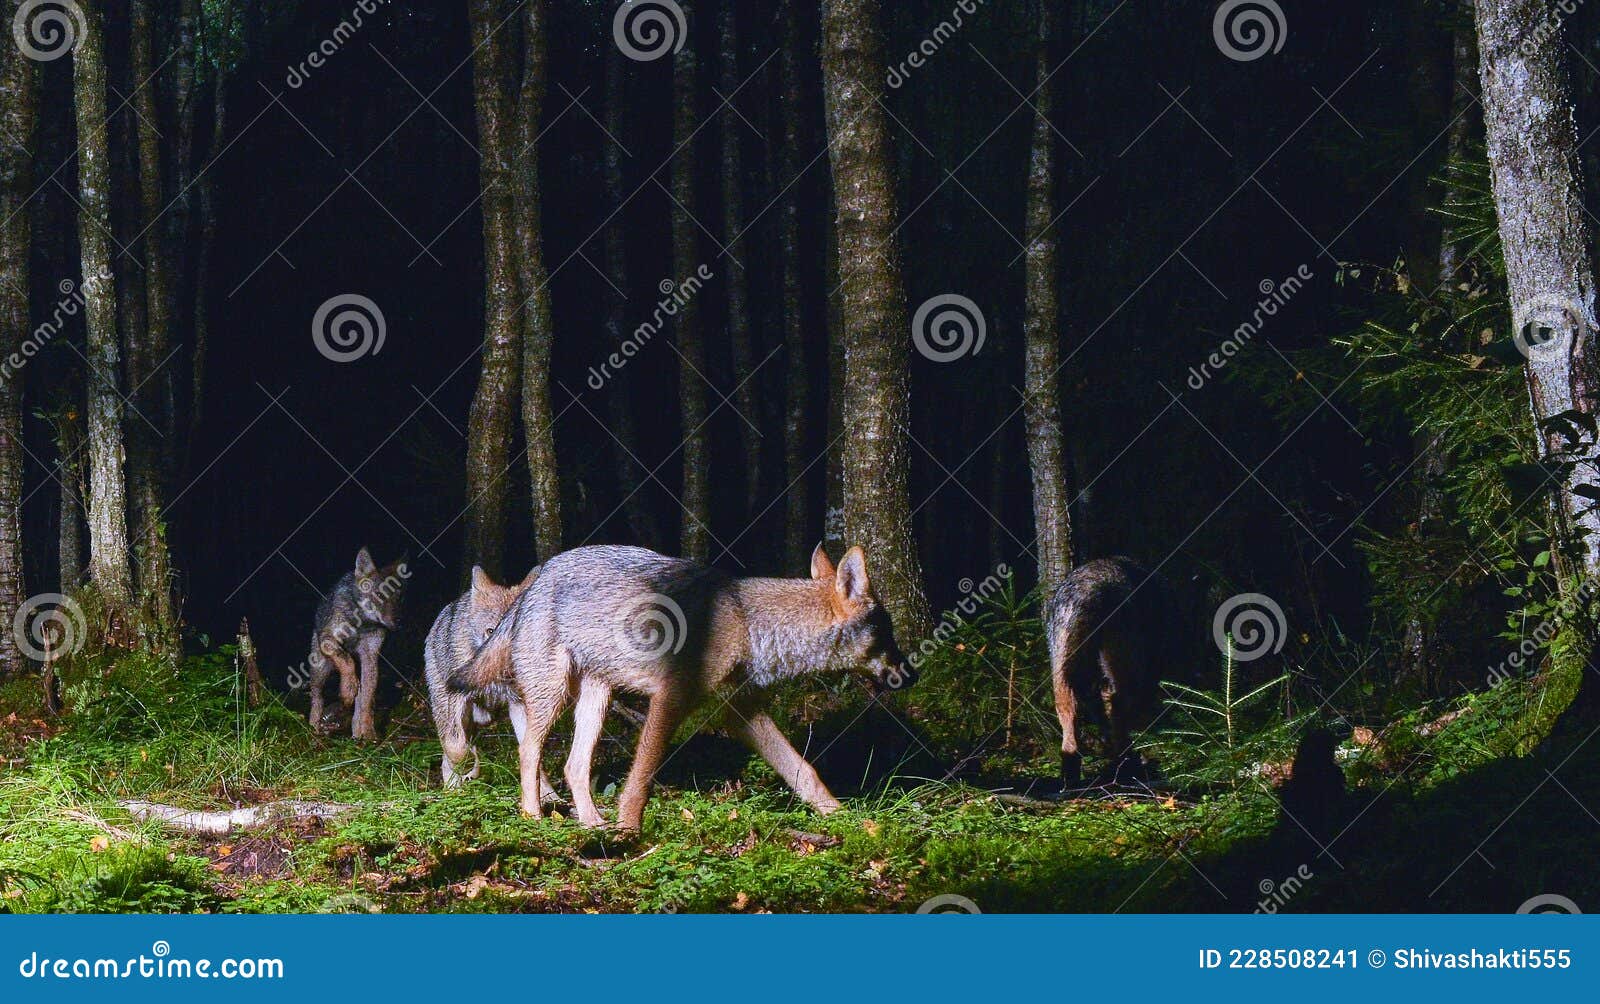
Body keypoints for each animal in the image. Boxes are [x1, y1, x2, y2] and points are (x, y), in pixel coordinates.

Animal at [308, 547, 407, 741]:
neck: (362, 624)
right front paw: (347, 690)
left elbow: (367, 701)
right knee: (316, 697)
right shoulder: (329, 640)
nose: (400, 621)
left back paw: (356, 735)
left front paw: (369, 734)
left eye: (400, 598)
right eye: (380, 595)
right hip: (320, 671)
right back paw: (313, 728)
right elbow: (346, 661)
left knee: (359, 702)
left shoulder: (371, 656)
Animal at [447, 543, 914, 832]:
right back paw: (534, 817)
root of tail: (534, 584)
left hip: (597, 701)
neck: (748, 623)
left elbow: (806, 772)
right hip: (553, 698)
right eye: (888, 634)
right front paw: (629, 832)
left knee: (573, 766)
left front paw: (846, 820)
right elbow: (640, 781)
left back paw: (593, 824)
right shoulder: (670, 701)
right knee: (529, 751)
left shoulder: (738, 712)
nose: (912, 674)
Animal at [1045, 556, 1173, 789]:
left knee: (1068, 710)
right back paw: (1126, 762)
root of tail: (1088, 591)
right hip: (1124, 658)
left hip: (1060, 653)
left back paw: (1071, 770)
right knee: (1117, 704)